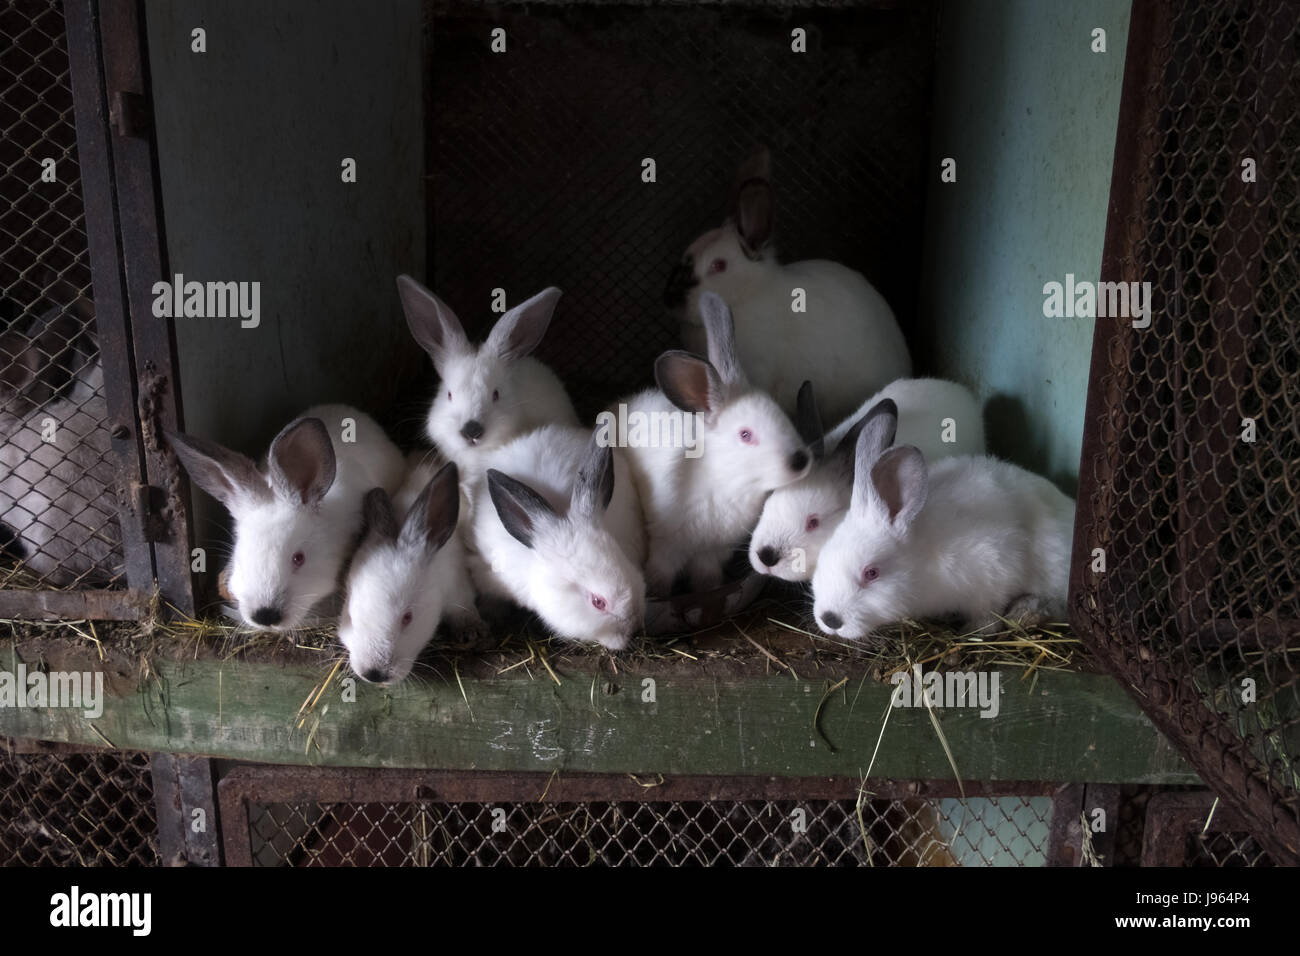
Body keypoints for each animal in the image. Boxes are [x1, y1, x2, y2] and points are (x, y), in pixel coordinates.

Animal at [337, 454, 481, 685]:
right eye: (349, 615)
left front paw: (471, 631)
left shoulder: (459, 588)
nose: (374, 675)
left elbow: (464, 610)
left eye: (408, 618)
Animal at [618, 291, 817, 596]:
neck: (728, 485)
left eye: (782, 415)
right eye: (745, 435)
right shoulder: (667, 545)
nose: (800, 460)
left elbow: (706, 577)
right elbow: (661, 574)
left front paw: (708, 589)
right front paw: (657, 593)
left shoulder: (711, 553)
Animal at [811, 422, 1076, 642]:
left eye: (871, 573)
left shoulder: (995, 570)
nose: (830, 619)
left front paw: (973, 631)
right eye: (822, 558)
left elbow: (988, 615)